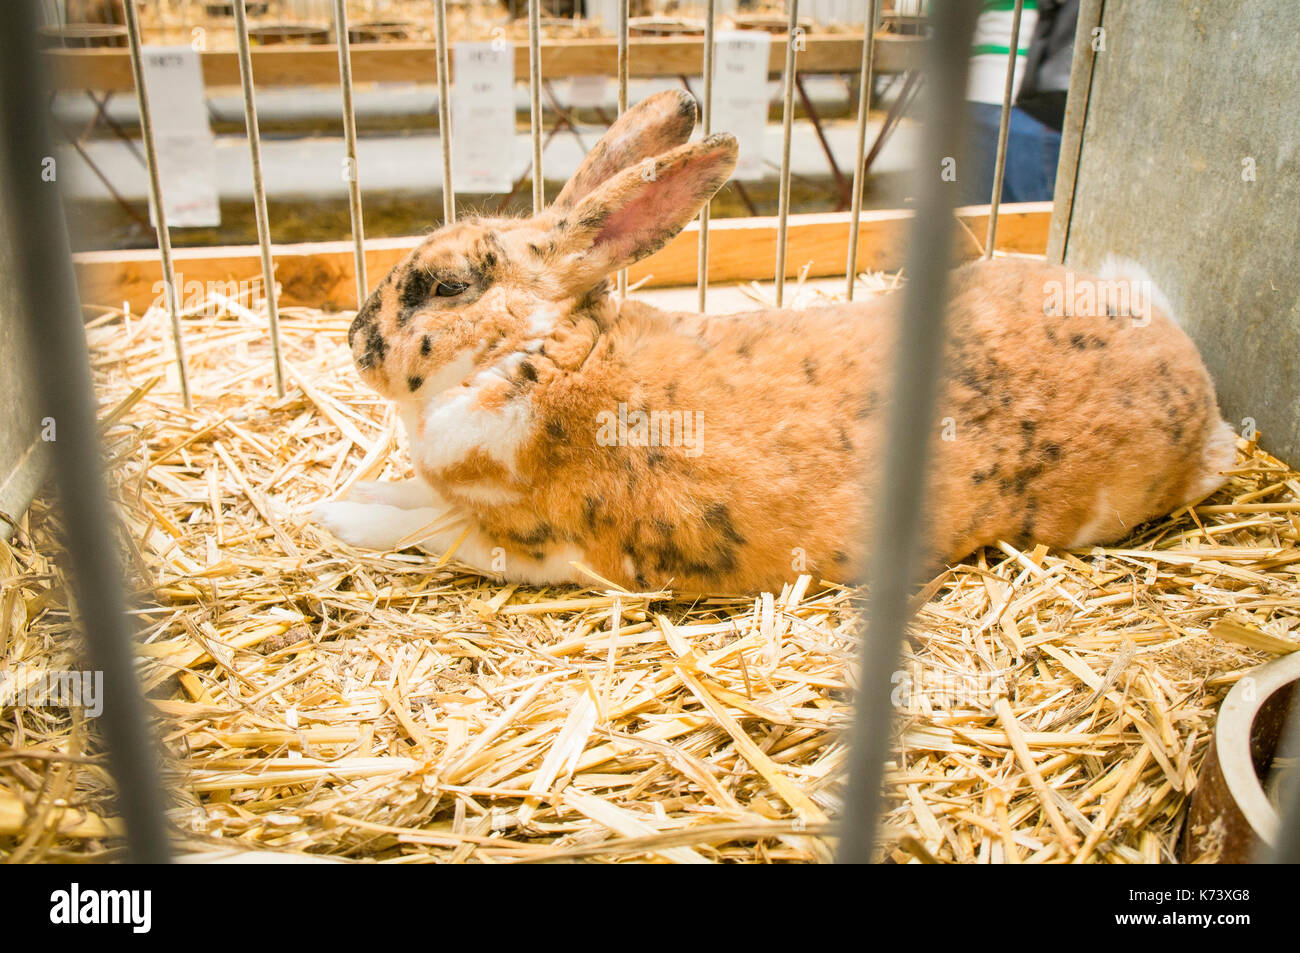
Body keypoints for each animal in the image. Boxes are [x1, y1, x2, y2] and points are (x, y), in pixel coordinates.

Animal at [312, 88, 1238, 593]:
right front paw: (328, 503)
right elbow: (406, 498)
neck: (541, 358)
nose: (355, 340)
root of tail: (1191, 373)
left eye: (446, 287)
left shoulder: (538, 546)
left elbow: (423, 532)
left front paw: (332, 516)